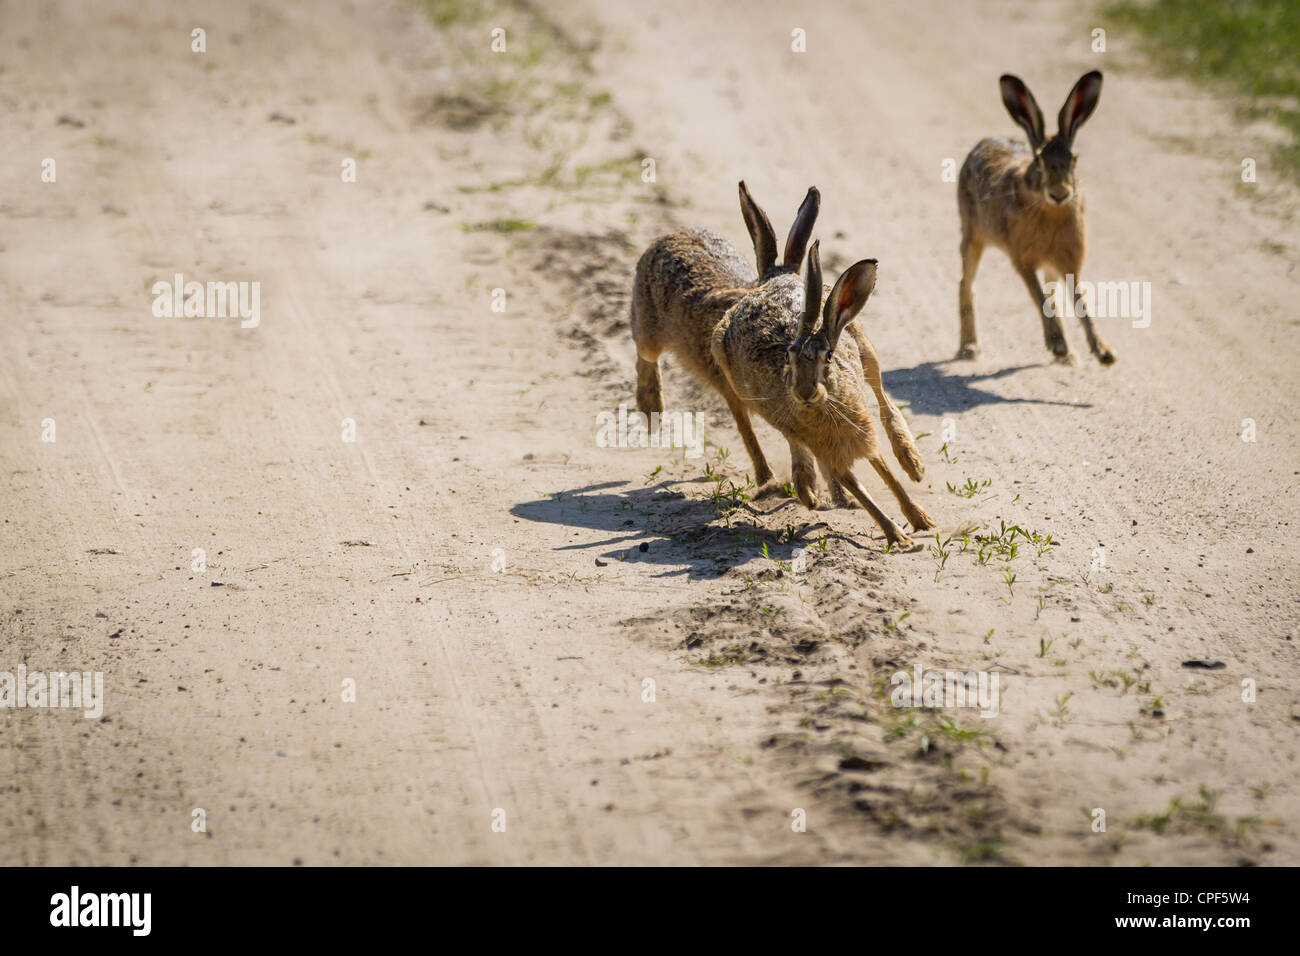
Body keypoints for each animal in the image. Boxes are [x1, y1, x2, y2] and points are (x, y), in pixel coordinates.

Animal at [631, 182, 819, 493]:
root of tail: (673, 234)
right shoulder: (729, 388)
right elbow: (747, 431)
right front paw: (767, 480)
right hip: (648, 329)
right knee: (643, 355)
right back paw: (651, 410)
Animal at [711, 241, 935, 548]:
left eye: (828, 357)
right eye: (787, 356)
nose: (804, 392)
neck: (826, 407)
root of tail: (773, 280)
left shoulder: (861, 433)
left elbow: (887, 473)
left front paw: (920, 520)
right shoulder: (829, 451)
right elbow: (860, 490)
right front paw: (898, 536)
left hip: (864, 347)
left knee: (882, 397)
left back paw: (913, 463)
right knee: (790, 439)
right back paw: (807, 489)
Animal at [957, 70, 1115, 365]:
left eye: (1074, 159)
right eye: (1039, 160)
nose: (1059, 194)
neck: (1050, 210)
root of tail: (982, 143)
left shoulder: (1069, 260)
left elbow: (1079, 302)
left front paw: (1103, 353)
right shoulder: (1023, 259)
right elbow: (1038, 297)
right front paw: (1060, 344)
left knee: (1052, 294)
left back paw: (1067, 355)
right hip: (972, 235)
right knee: (966, 283)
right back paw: (969, 347)